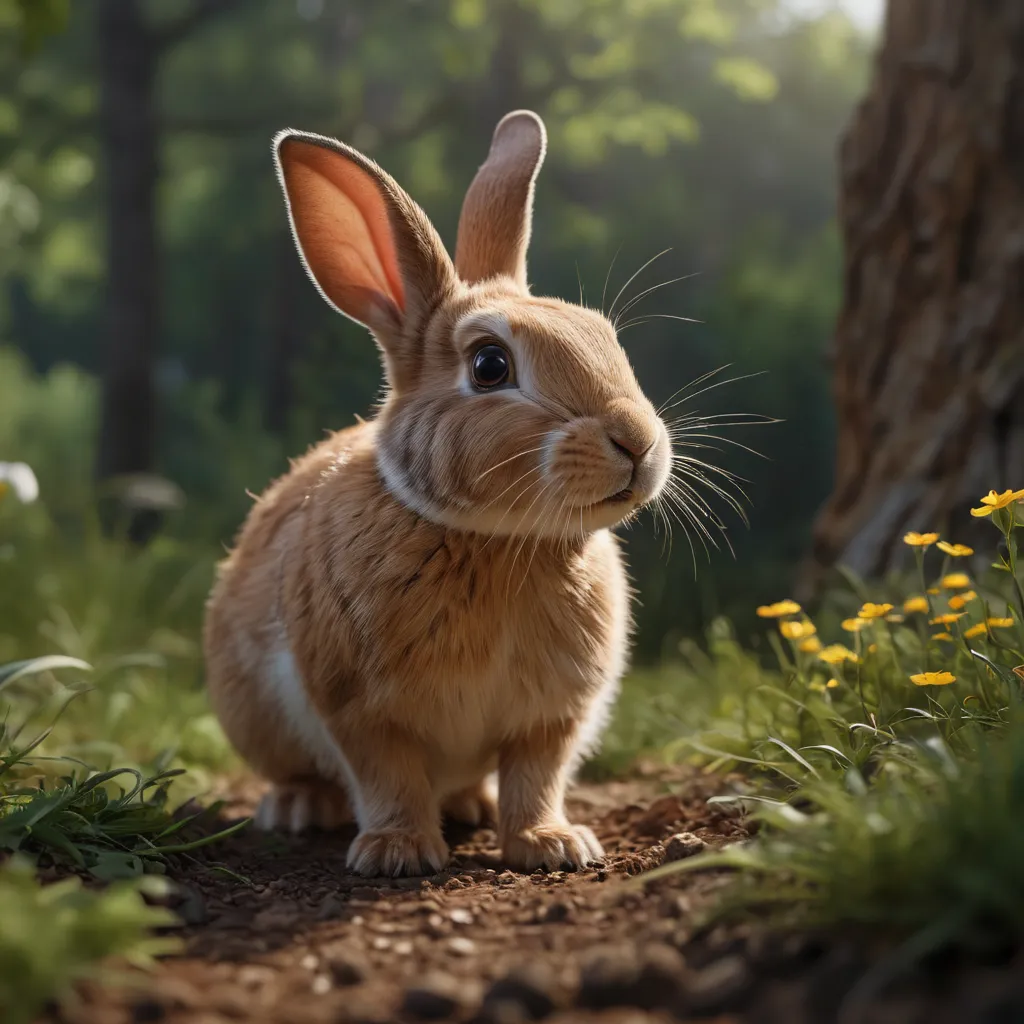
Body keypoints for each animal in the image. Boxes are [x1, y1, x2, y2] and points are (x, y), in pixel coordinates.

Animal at [203, 109, 672, 878]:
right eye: (489, 365)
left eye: (604, 336)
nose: (637, 441)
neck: (497, 539)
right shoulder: (361, 709)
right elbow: (386, 775)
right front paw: (397, 853)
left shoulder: (553, 716)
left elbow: (537, 776)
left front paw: (551, 844)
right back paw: (301, 808)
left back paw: (474, 807)